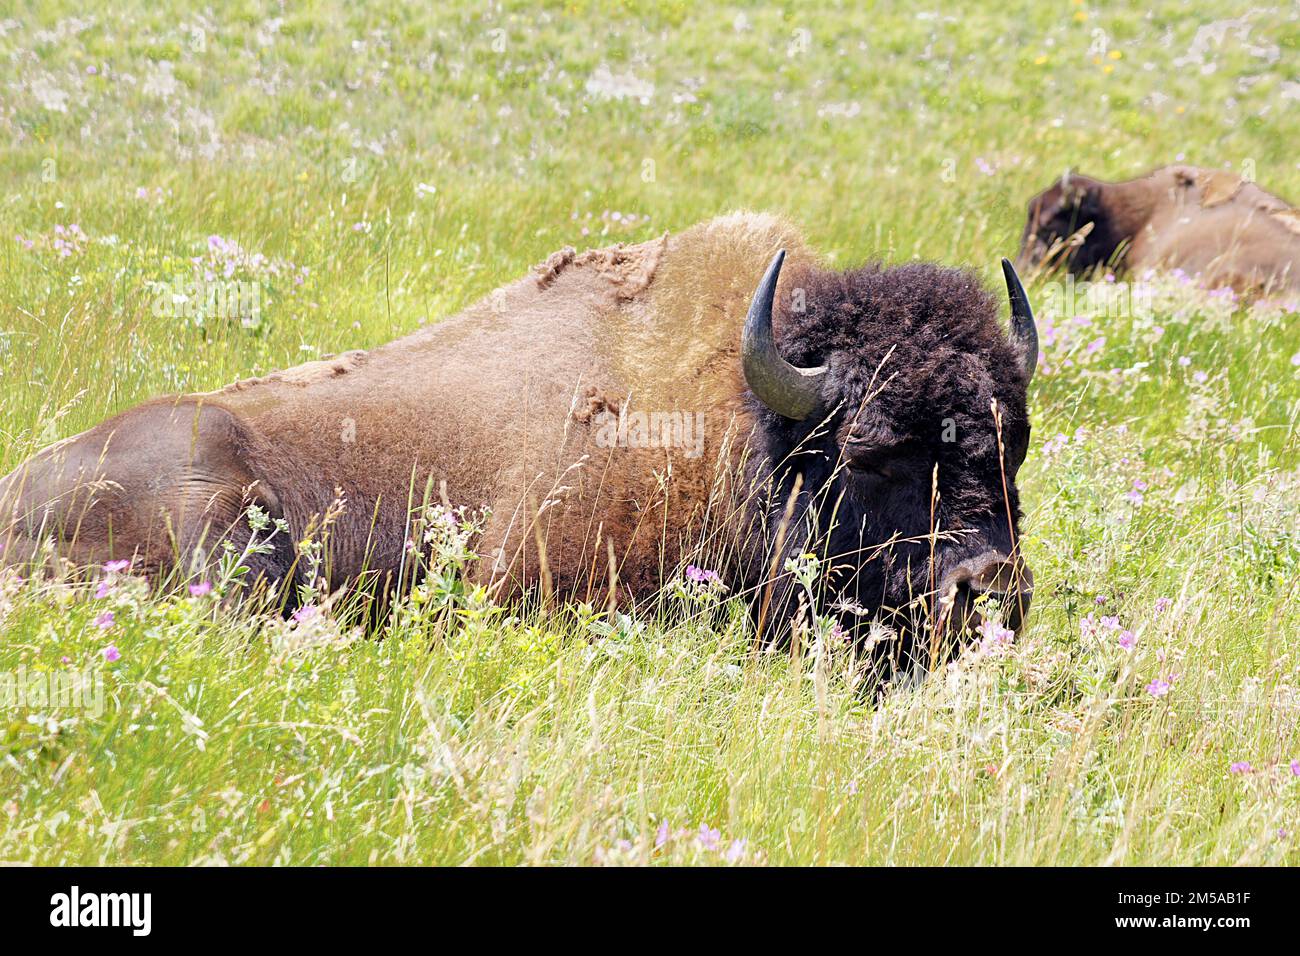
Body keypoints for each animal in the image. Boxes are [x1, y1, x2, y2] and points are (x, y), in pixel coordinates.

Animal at [1, 213, 1037, 676]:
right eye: (867, 451)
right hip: (223, 519)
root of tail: (15, 498)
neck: (748, 433)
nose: (987, 587)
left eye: (1010, 442)